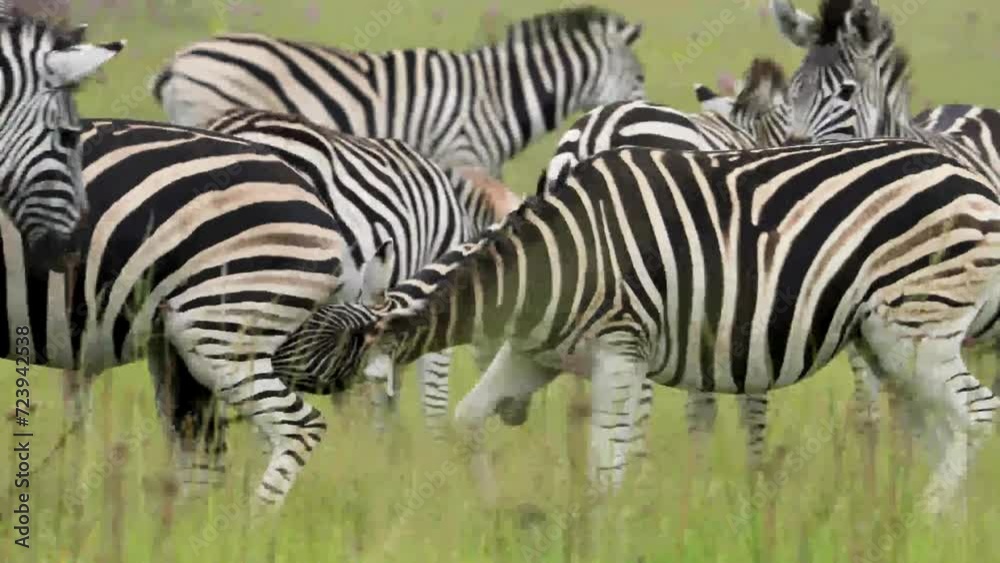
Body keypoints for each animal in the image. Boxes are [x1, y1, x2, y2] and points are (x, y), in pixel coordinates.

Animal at [15, 118, 352, 510]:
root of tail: (317, 204)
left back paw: (252, 522)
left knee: (296, 427)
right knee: (205, 454)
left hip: (219, 325)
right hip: (183, 343)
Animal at [271, 139, 1000, 515]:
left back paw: (931, 512)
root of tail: (968, 174)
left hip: (918, 326)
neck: (543, 267)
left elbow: (604, 466)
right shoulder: (535, 356)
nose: (265, 364)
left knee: (977, 413)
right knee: (945, 428)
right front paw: (495, 511)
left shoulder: (620, 352)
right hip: (884, 342)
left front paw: (605, 527)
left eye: (310, 338)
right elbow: (469, 422)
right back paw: (938, 525)